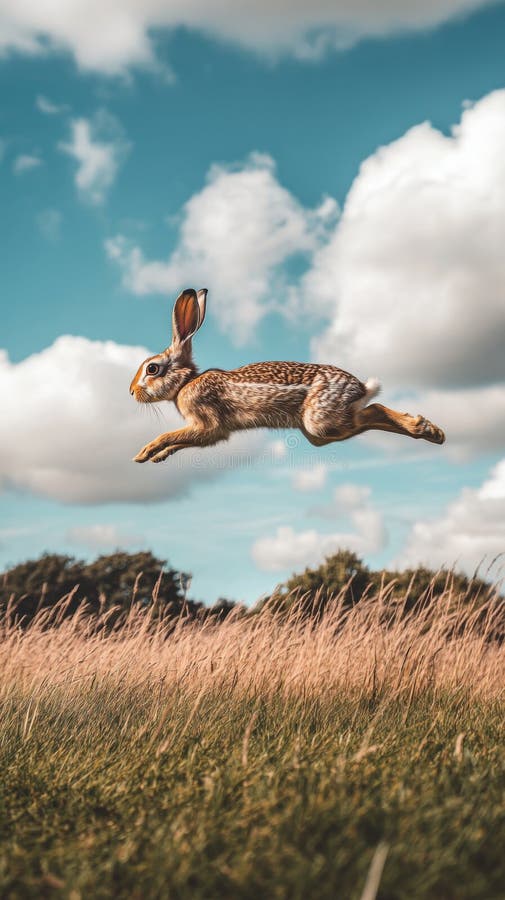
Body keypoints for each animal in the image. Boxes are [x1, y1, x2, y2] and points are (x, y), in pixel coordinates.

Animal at [130, 289, 445, 463]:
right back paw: (431, 433)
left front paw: (145, 452)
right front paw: (154, 457)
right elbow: (180, 441)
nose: (132, 392)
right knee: (371, 415)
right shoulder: (210, 433)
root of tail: (360, 387)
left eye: (152, 368)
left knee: (374, 409)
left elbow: (171, 435)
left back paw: (424, 428)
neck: (186, 382)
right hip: (318, 433)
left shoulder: (208, 422)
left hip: (320, 422)